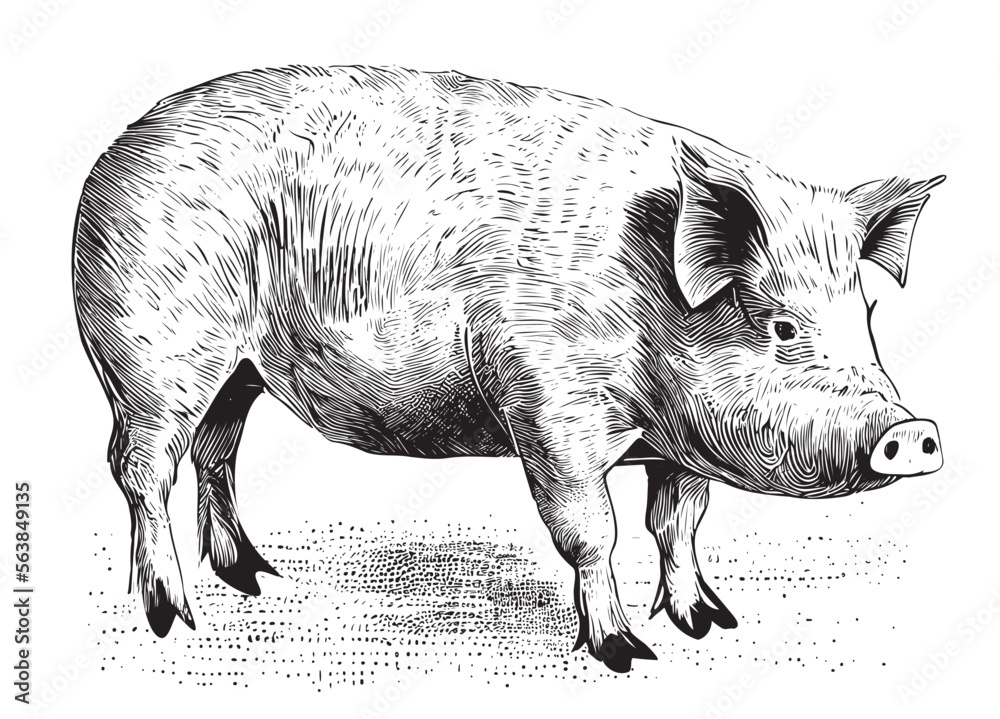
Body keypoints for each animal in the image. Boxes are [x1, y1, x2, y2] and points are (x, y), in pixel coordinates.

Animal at [72, 65, 945, 673]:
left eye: (868, 319)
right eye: (781, 324)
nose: (915, 429)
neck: (652, 309)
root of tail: (115, 153)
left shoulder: (675, 449)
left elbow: (679, 523)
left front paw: (709, 621)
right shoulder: (547, 410)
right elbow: (595, 531)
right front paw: (626, 652)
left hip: (239, 374)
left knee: (216, 453)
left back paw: (253, 575)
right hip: (154, 356)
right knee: (141, 469)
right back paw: (173, 616)